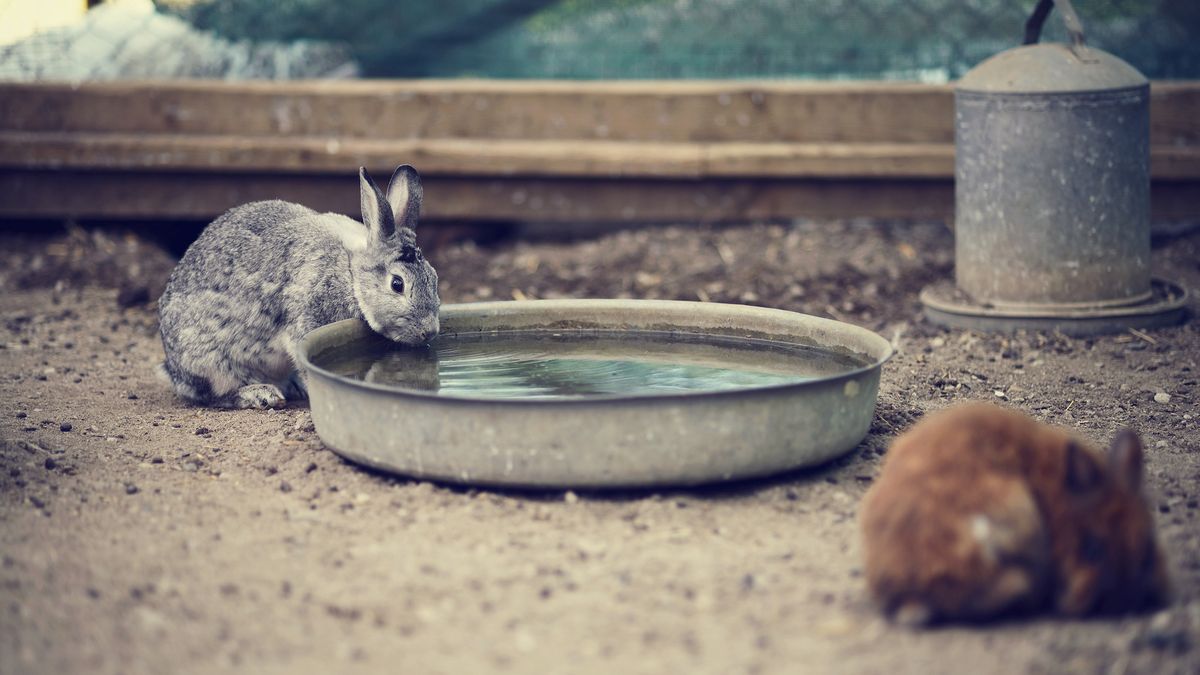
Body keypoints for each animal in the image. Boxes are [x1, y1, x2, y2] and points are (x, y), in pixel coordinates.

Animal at [158, 165, 440, 409]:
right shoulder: (305, 322)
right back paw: (260, 394)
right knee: (214, 394)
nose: (430, 332)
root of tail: (172, 367)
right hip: (210, 360)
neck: (350, 273)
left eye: (434, 277)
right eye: (397, 284)